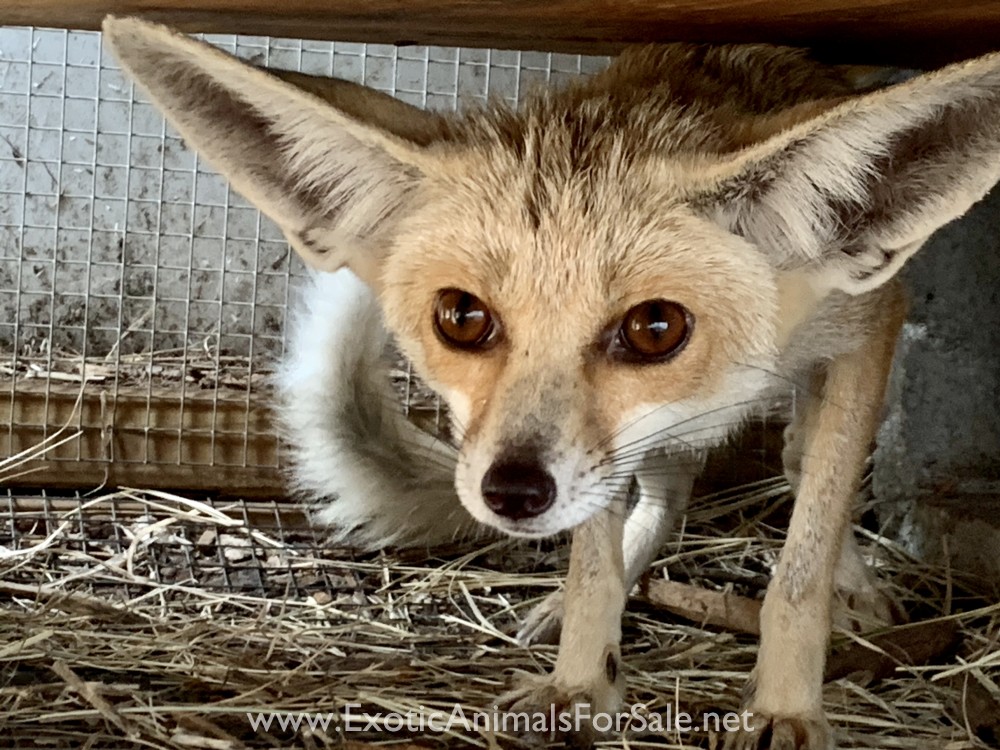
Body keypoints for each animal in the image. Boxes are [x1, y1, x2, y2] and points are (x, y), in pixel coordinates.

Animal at [103, 16, 1000, 749]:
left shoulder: (868, 327)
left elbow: (802, 558)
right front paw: (580, 686)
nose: (512, 493)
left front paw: (785, 706)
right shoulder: (603, 459)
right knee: (669, 495)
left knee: (792, 460)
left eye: (655, 328)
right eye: (462, 317)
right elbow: (593, 565)